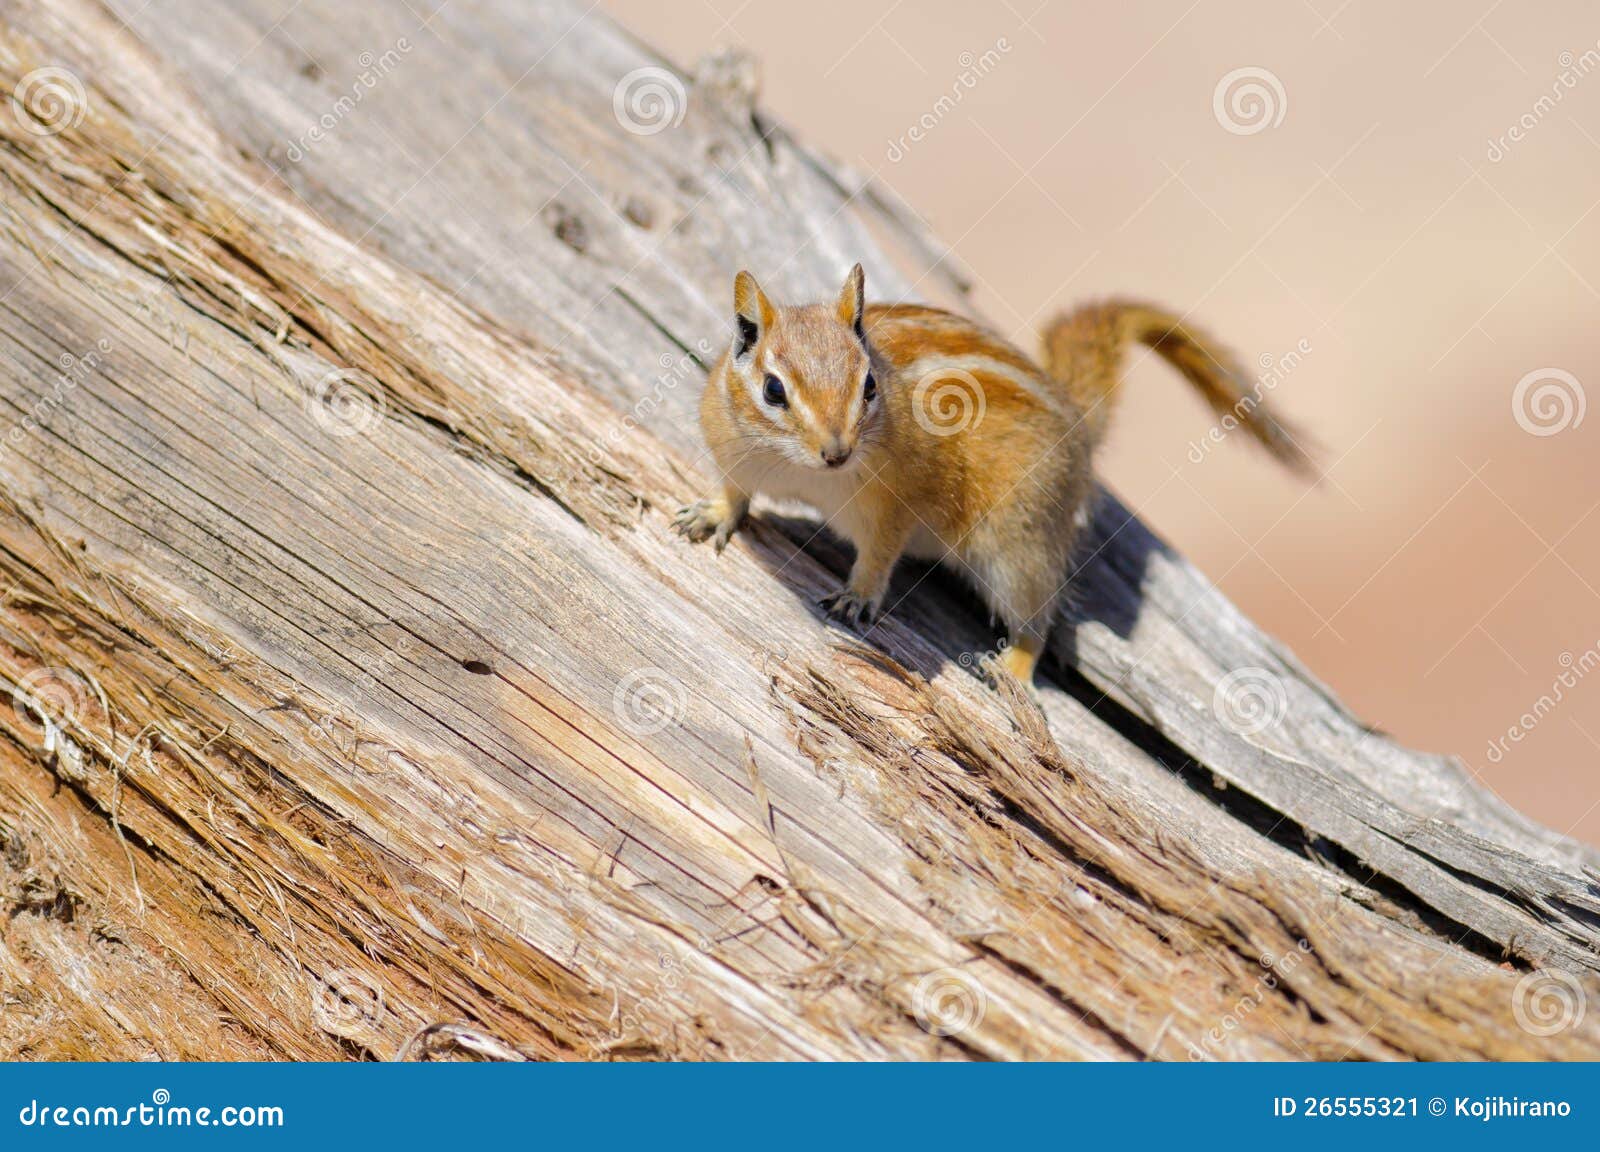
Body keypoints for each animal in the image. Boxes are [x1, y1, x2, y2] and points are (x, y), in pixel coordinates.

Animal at [675, 264, 1311, 686]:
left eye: (869, 386)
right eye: (773, 390)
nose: (838, 452)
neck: (803, 471)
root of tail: (1075, 419)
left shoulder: (900, 498)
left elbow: (881, 553)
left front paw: (858, 595)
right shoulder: (732, 449)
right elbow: (734, 491)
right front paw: (711, 514)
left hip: (1017, 545)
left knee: (1039, 618)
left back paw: (1013, 664)